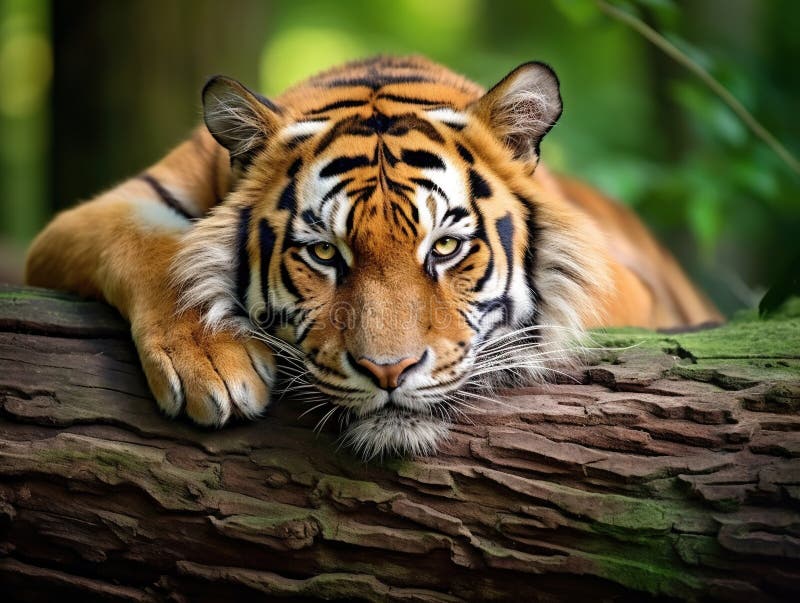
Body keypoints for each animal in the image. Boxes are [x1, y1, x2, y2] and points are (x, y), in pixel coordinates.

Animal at [25, 55, 721, 458]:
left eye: (446, 247)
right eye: (323, 253)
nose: (390, 373)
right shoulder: (94, 214)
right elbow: (157, 249)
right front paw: (211, 363)